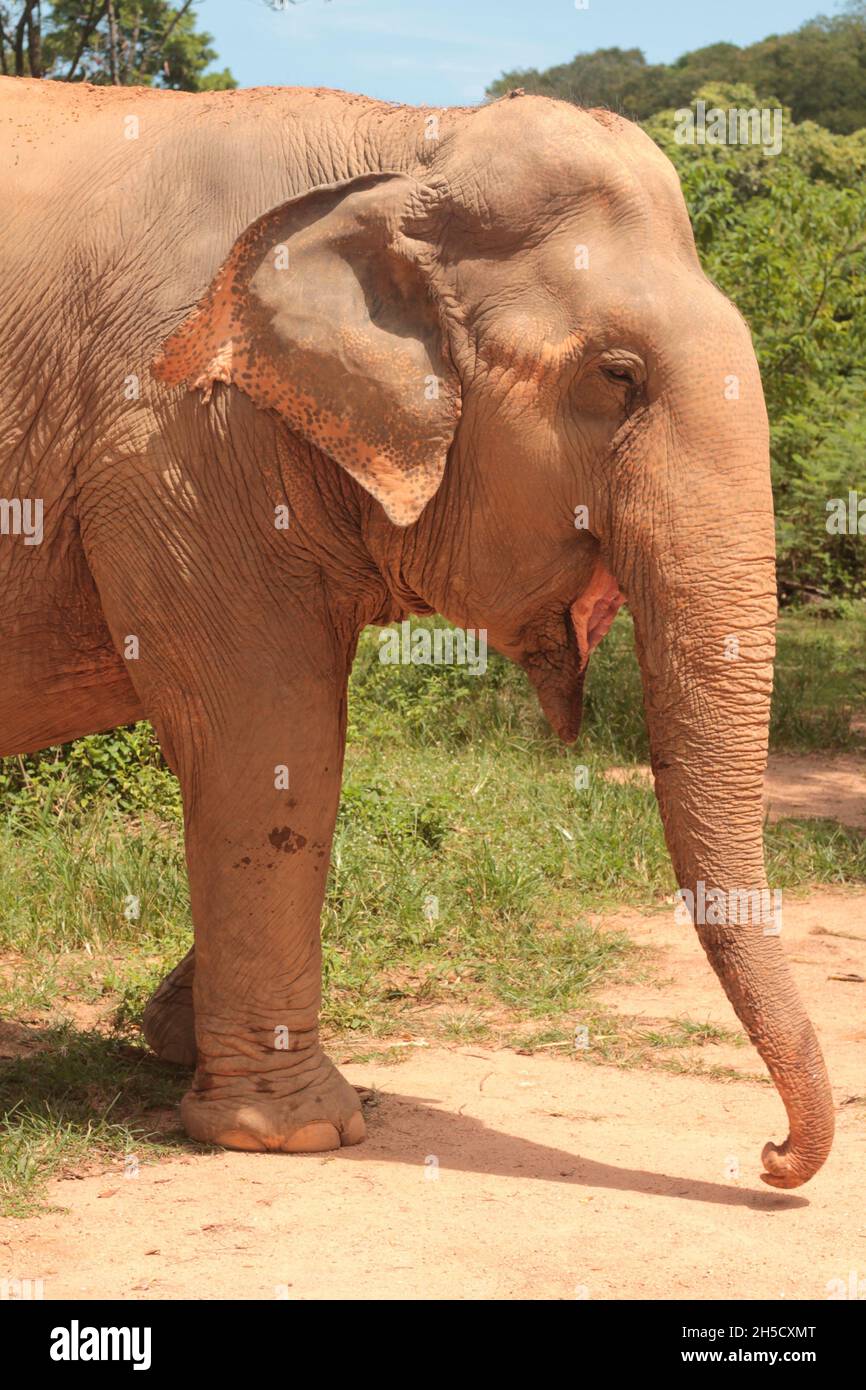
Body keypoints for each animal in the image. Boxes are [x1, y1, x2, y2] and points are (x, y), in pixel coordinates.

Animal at [0, 76, 833, 1187]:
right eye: (616, 376)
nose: (771, 1156)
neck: (405, 140)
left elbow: (287, 744)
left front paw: (173, 1040)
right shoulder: (174, 440)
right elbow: (271, 739)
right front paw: (299, 1131)